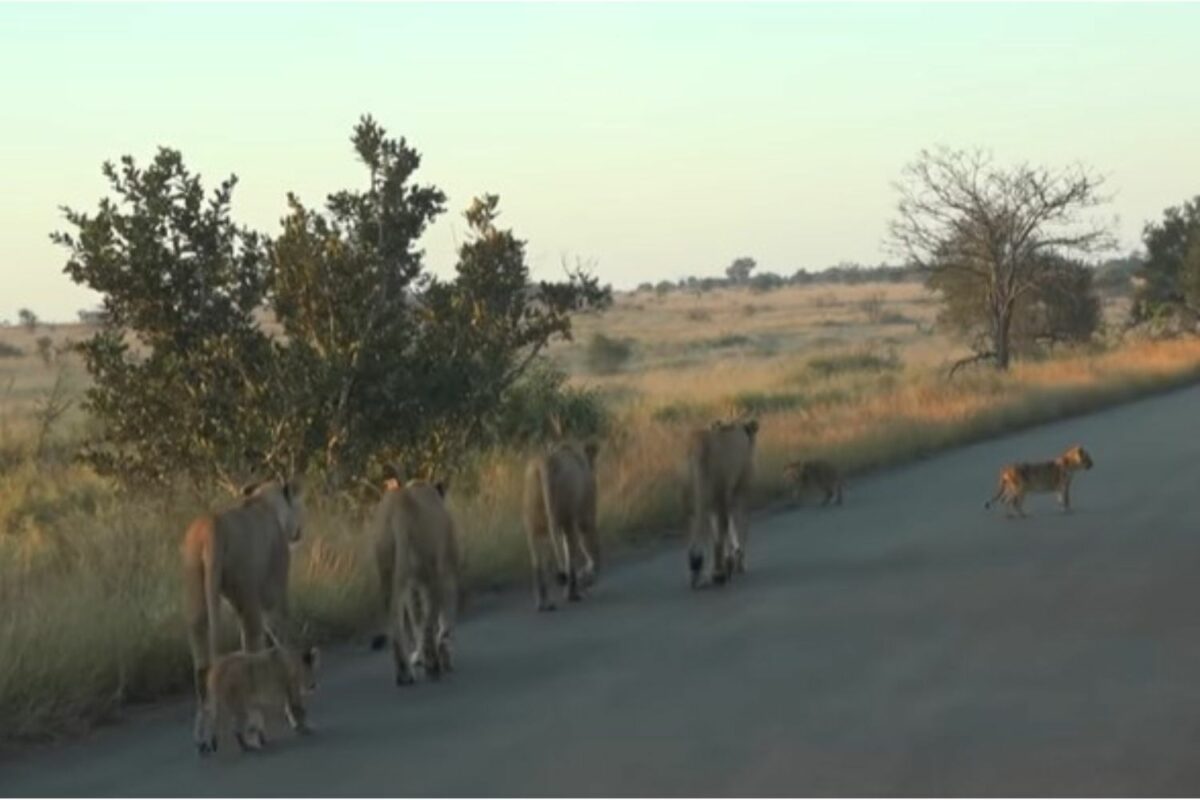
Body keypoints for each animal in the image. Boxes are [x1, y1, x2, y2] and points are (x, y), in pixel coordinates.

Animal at [182, 479, 304, 751]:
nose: (300, 531)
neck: (264, 504)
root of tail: (211, 526)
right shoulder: (274, 598)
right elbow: (283, 639)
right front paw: (294, 714)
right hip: (246, 598)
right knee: (251, 654)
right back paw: (256, 729)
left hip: (196, 597)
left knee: (200, 666)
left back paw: (202, 738)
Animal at [369, 476, 461, 685]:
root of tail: (399, 506)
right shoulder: (446, 574)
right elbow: (444, 618)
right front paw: (443, 654)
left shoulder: (412, 586)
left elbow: (415, 619)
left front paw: (420, 657)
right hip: (431, 574)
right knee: (428, 620)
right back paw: (432, 664)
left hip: (387, 571)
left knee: (396, 618)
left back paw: (404, 672)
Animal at [523, 440, 600, 611]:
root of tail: (545, 461)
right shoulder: (585, 517)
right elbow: (588, 550)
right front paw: (589, 577)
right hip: (567, 517)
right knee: (570, 556)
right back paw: (572, 593)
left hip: (534, 524)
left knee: (538, 563)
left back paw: (543, 603)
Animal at [686, 419, 758, 588]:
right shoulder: (741, 489)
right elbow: (740, 523)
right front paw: (739, 561)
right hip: (719, 490)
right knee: (722, 526)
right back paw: (720, 573)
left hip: (699, 491)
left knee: (705, 525)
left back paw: (698, 569)